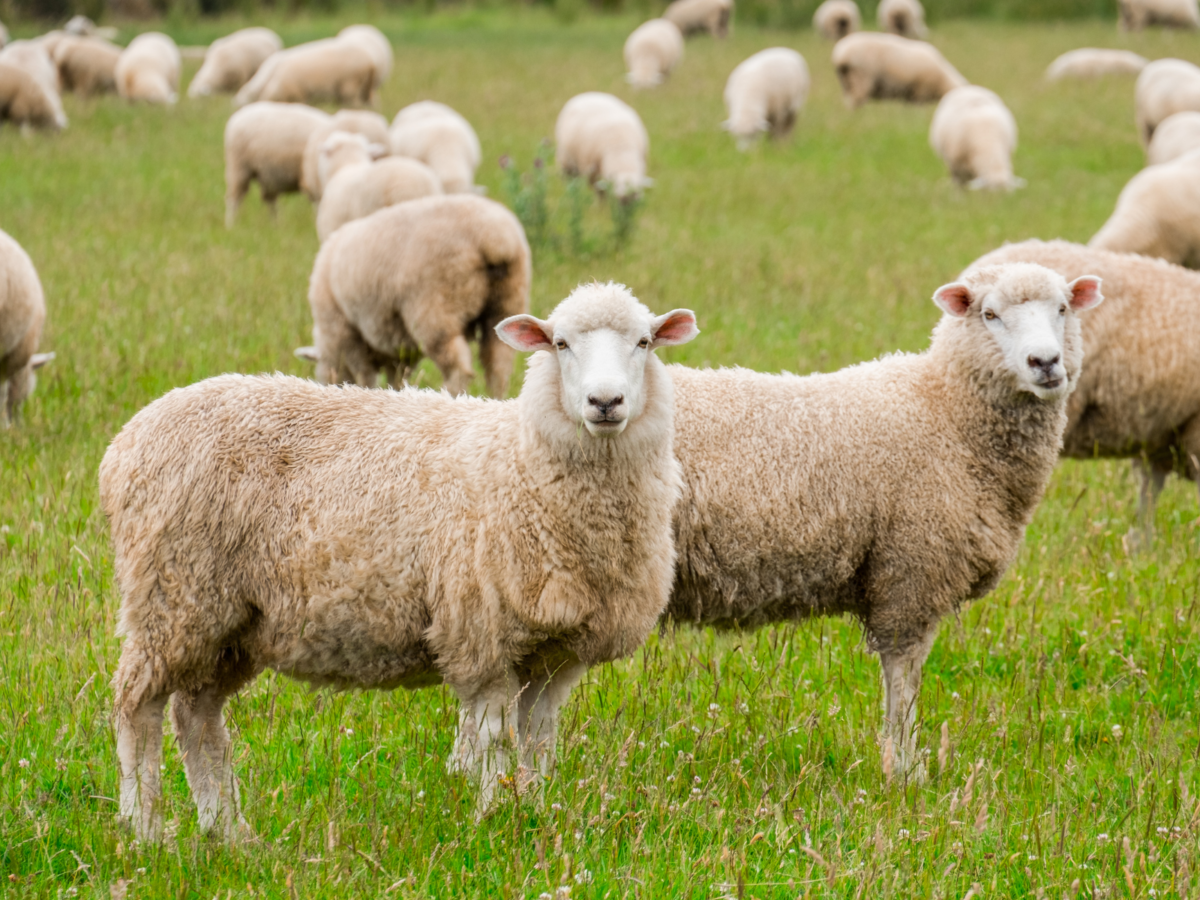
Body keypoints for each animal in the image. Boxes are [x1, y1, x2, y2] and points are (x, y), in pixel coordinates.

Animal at [103, 282, 699, 840]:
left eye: (643, 342)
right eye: (561, 344)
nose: (605, 402)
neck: (522, 462)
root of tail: (127, 440)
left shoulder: (554, 654)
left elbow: (537, 742)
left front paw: (531, 813)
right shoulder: (480, 636)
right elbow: (494, 741)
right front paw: (493, 821)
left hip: (230, 622)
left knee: (196, 717)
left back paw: (228, 832)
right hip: (173, 595)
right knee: (138, 708)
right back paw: (145, 828)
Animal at [233, 37, 376, 109]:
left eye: (243, 99)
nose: (233, 109)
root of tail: (369, 62)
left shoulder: (293, 91)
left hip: (351, 81)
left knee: (352, 97)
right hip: (361, 84)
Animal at [297, 194, 530, 397]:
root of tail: (495, 238)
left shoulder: (346, 333)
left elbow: (365, 377)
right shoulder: (399, 350)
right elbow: (397, 380)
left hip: (436, 307)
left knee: (458, 369)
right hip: (507, 302)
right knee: (498, 367)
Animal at [666, 263, 1102, 778]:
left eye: (1063, 308)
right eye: (989, 314)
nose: (1045, 362)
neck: (946, 411)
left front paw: (902, 763)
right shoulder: (910, 571)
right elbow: (903, 679)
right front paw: (905, 770)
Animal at [831, 33, 966, 109]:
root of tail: (841, 54)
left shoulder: (911, 94)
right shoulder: (921, 91)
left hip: (845, 80)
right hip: (861, 76)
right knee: (856, 100)